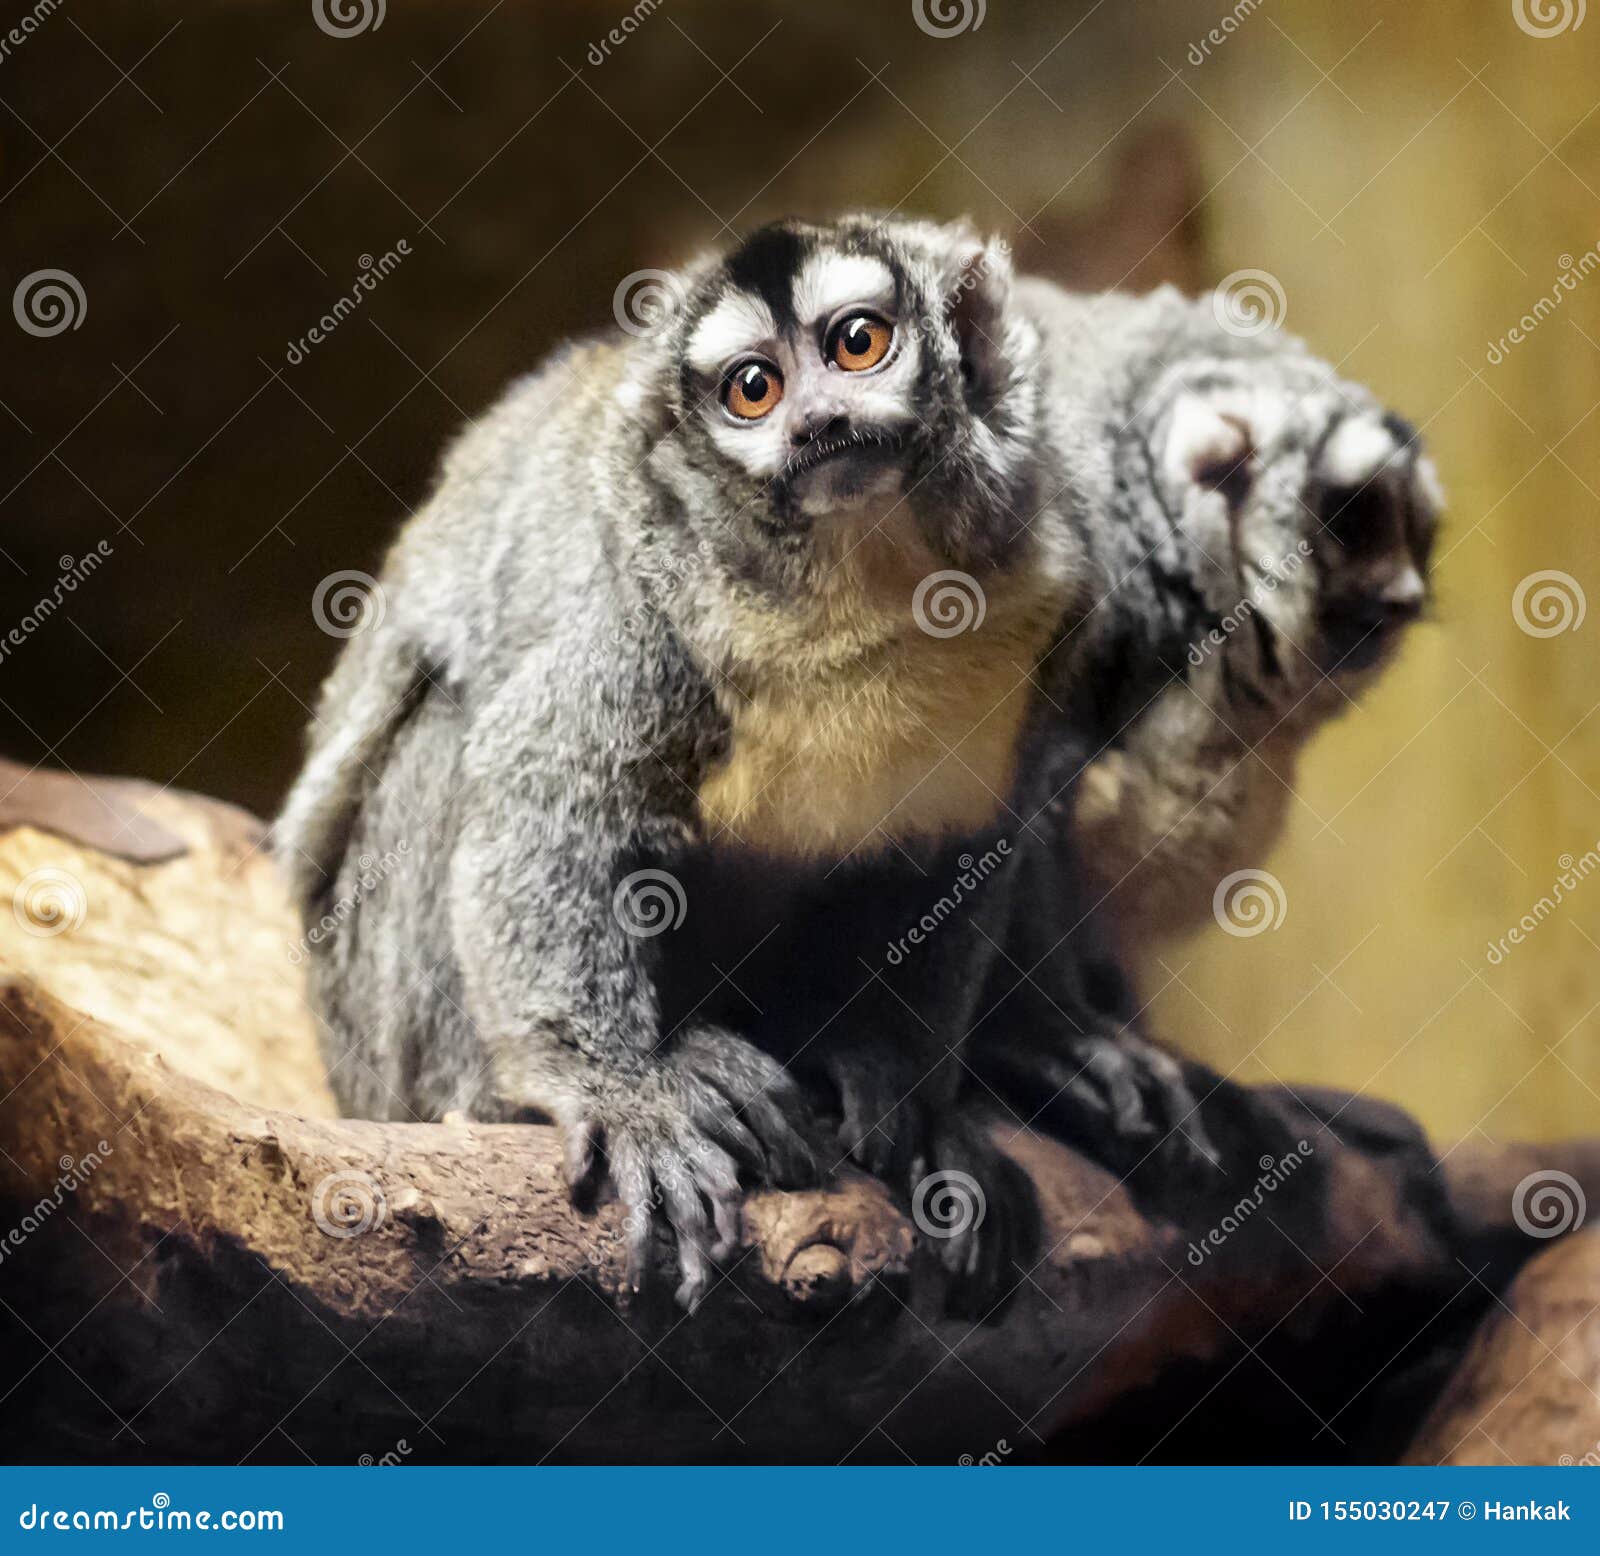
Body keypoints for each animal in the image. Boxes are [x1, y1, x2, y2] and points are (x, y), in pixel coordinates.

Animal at [275, 215, 1438, 1313]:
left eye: (859, 344)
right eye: (1356, 524)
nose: (1405, 599)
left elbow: (969, 831)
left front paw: (906, 1082)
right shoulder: (680, 612)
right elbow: (546, 782)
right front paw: (1059, 1046)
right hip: (380, 1035)